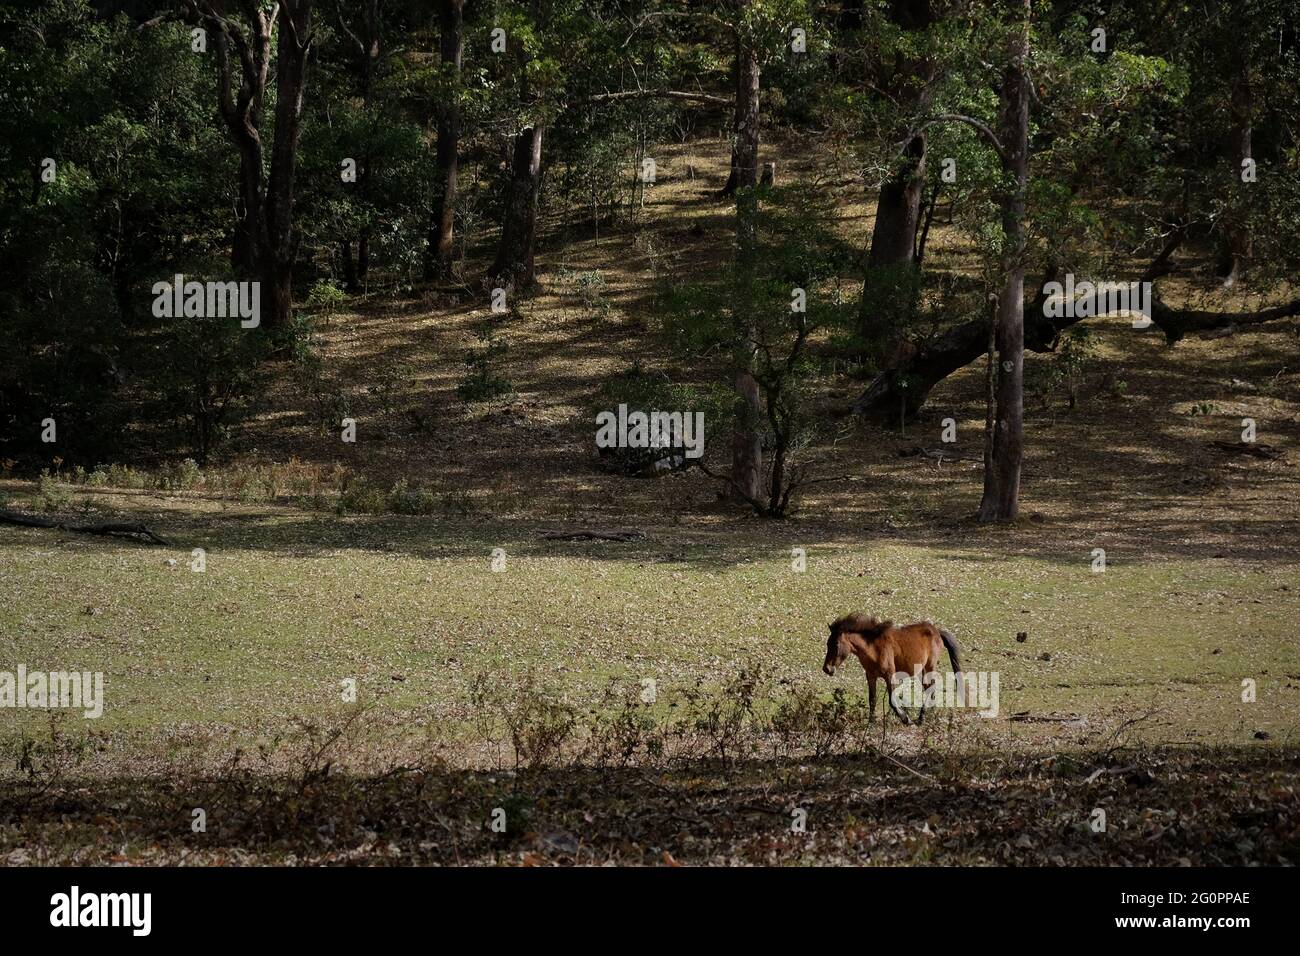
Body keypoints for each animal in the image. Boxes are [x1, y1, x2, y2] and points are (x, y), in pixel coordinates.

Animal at [822, 613, 964, 725]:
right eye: (828, 643)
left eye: (836, 644)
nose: (827, 669)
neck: (874, 647)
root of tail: (937, 631)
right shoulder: (870, 676)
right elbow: (872, 699)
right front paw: (871, 724)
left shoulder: (889, 675)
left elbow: (892, 700)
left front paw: (906, 719)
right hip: (920, 670)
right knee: (929, 688)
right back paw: (929, 715)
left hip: (929, 666)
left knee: (930, 688)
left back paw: (921, 719)